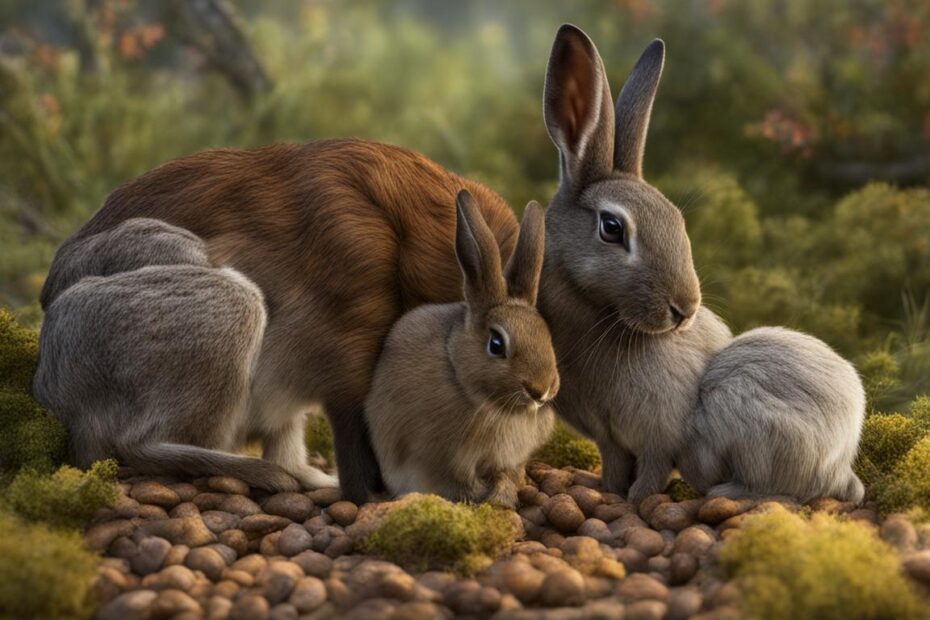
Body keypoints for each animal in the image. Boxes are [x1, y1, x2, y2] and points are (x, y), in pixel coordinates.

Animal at [365, 190, 559, 508]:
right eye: (496, 344)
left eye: (546, 334)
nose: (540, 390)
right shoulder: (442, 455)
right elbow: (460, 480)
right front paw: (486, 498)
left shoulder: (508, 458)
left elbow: (506, 474)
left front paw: (503, 496)